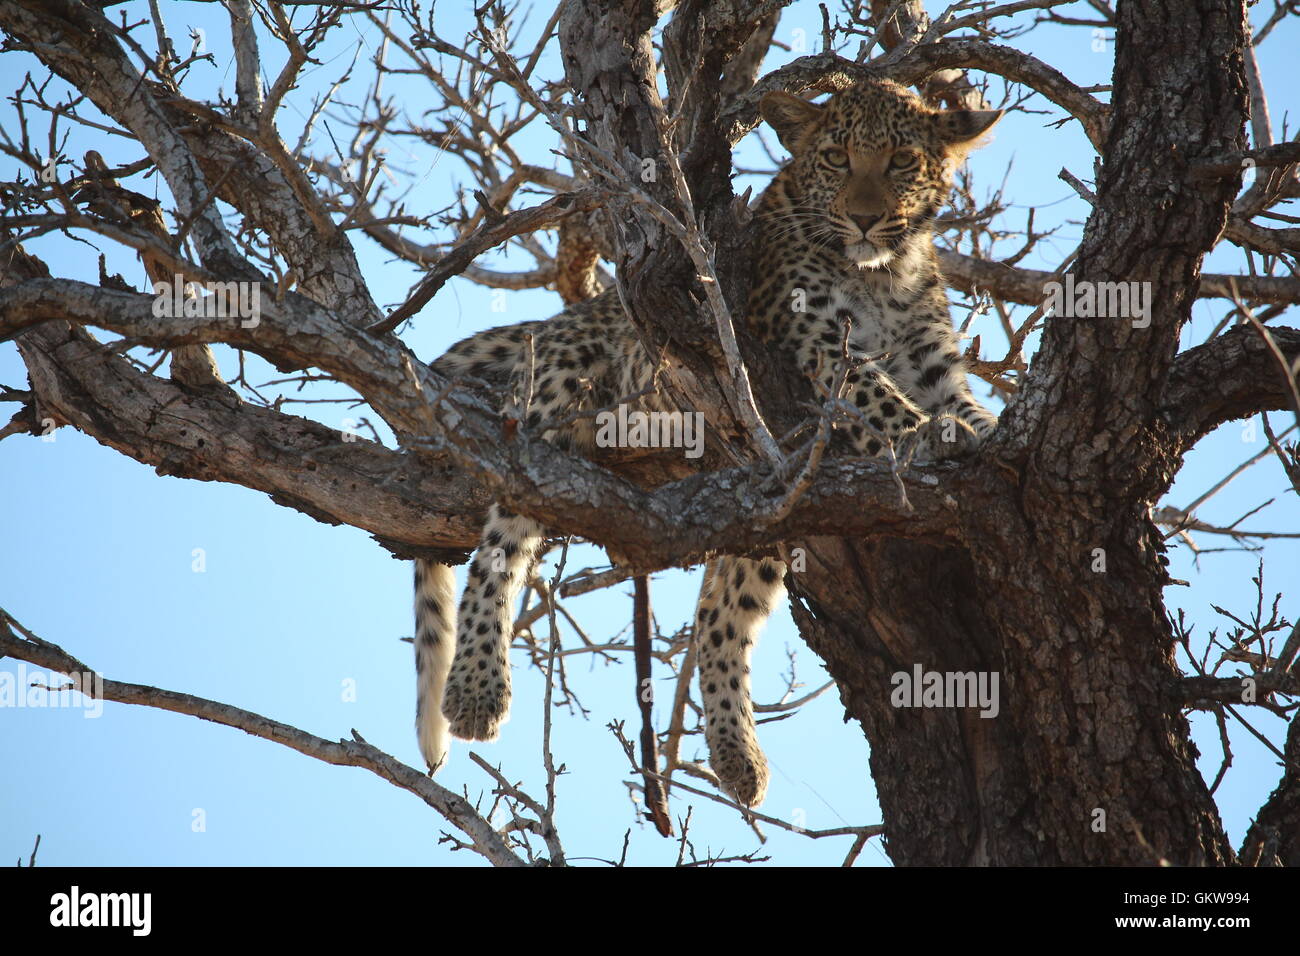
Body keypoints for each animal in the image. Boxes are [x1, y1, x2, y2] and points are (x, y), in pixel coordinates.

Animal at [412, 78, 1002, 807]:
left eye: (900, 162)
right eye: (837, 158)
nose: (865, 219)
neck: (883, 271)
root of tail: (562, 317)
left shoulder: (932, 364)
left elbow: (968, 405)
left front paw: (985, 431)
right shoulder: (812, 343)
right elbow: (874, 395)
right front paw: (925, 433)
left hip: (767, 507)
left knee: (722, 617)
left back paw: (737, 755)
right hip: (554, 390)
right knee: (498, 546)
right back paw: (476, 691)